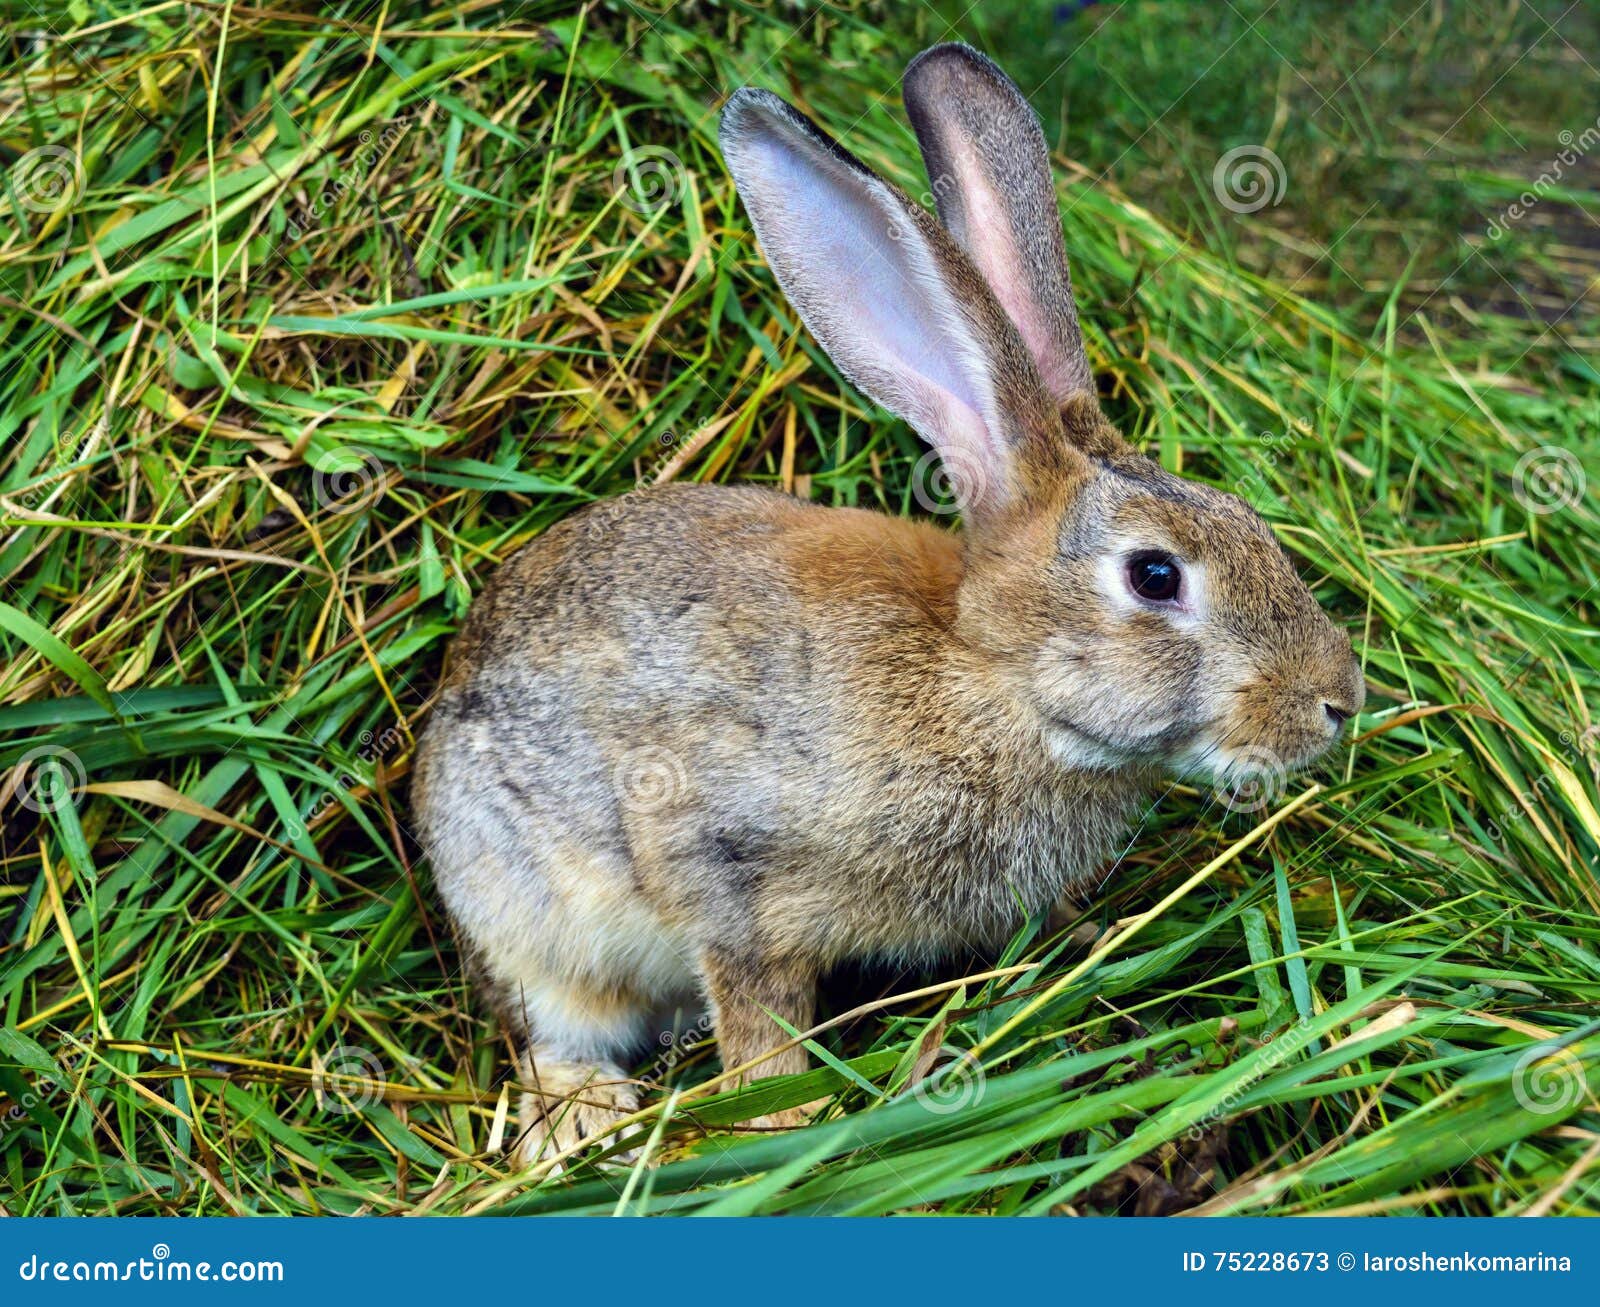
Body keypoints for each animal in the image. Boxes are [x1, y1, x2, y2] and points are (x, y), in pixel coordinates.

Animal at [409, 42, 1365, 1168]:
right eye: (1155, 576)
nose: (1340, 699)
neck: (991, 678)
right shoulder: (723, 864)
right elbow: (755, 1009)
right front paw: (789, 1118)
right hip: (517, 904)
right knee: (548, 1024)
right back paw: (583, 1118)